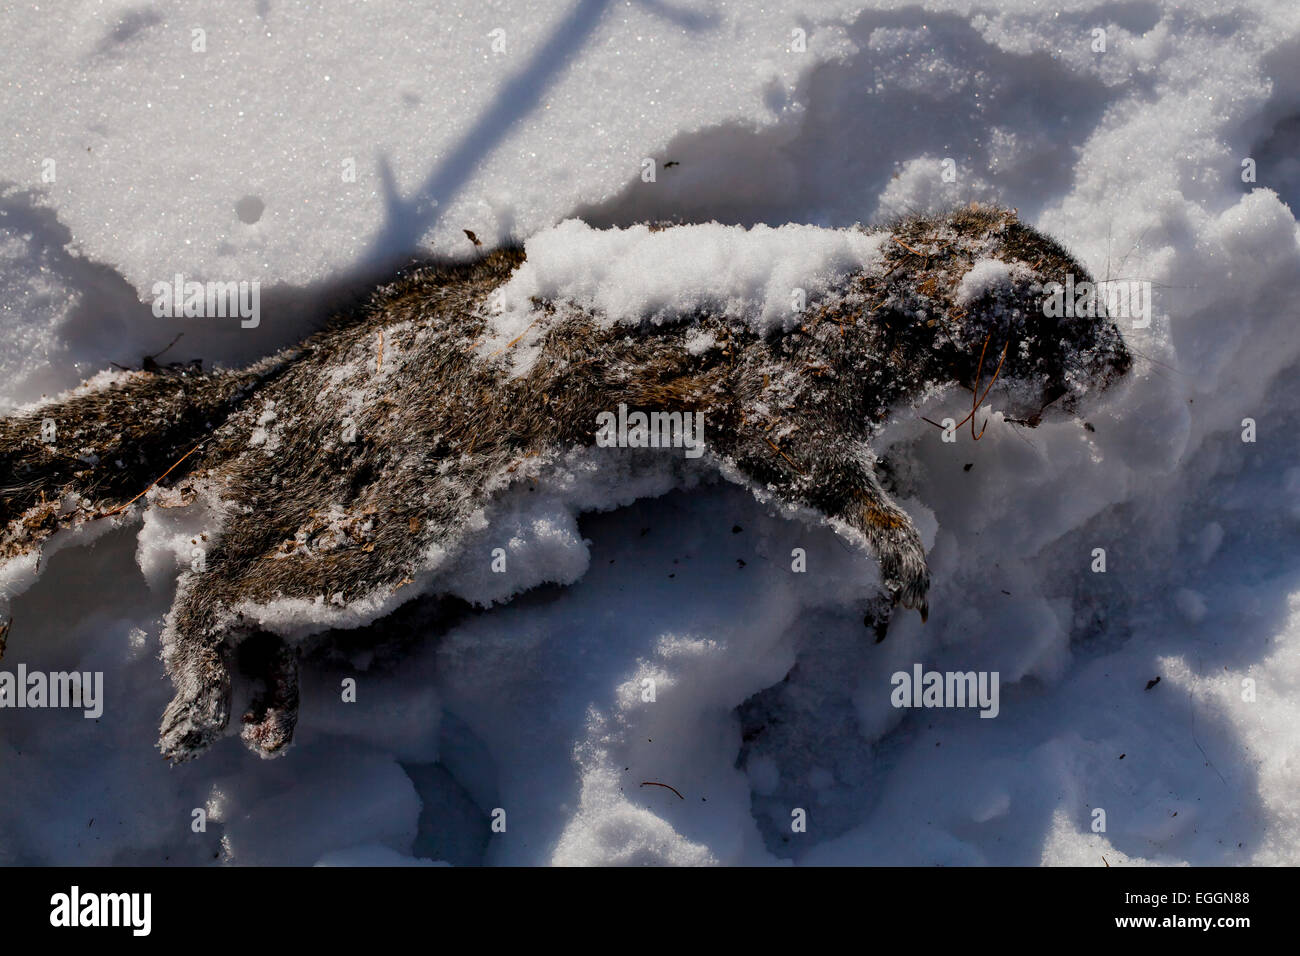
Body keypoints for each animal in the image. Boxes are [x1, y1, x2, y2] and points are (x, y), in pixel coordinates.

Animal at [0, 204, 1130, 762]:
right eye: (1066, 314)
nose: (1128, 362)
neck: (874, 299)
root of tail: (274, 387)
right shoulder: (776, 396)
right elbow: (819, 473)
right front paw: (899, 549)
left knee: (244, 590)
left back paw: (270, 706)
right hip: (385, 518)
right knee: (213, 586)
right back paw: (199, 701)